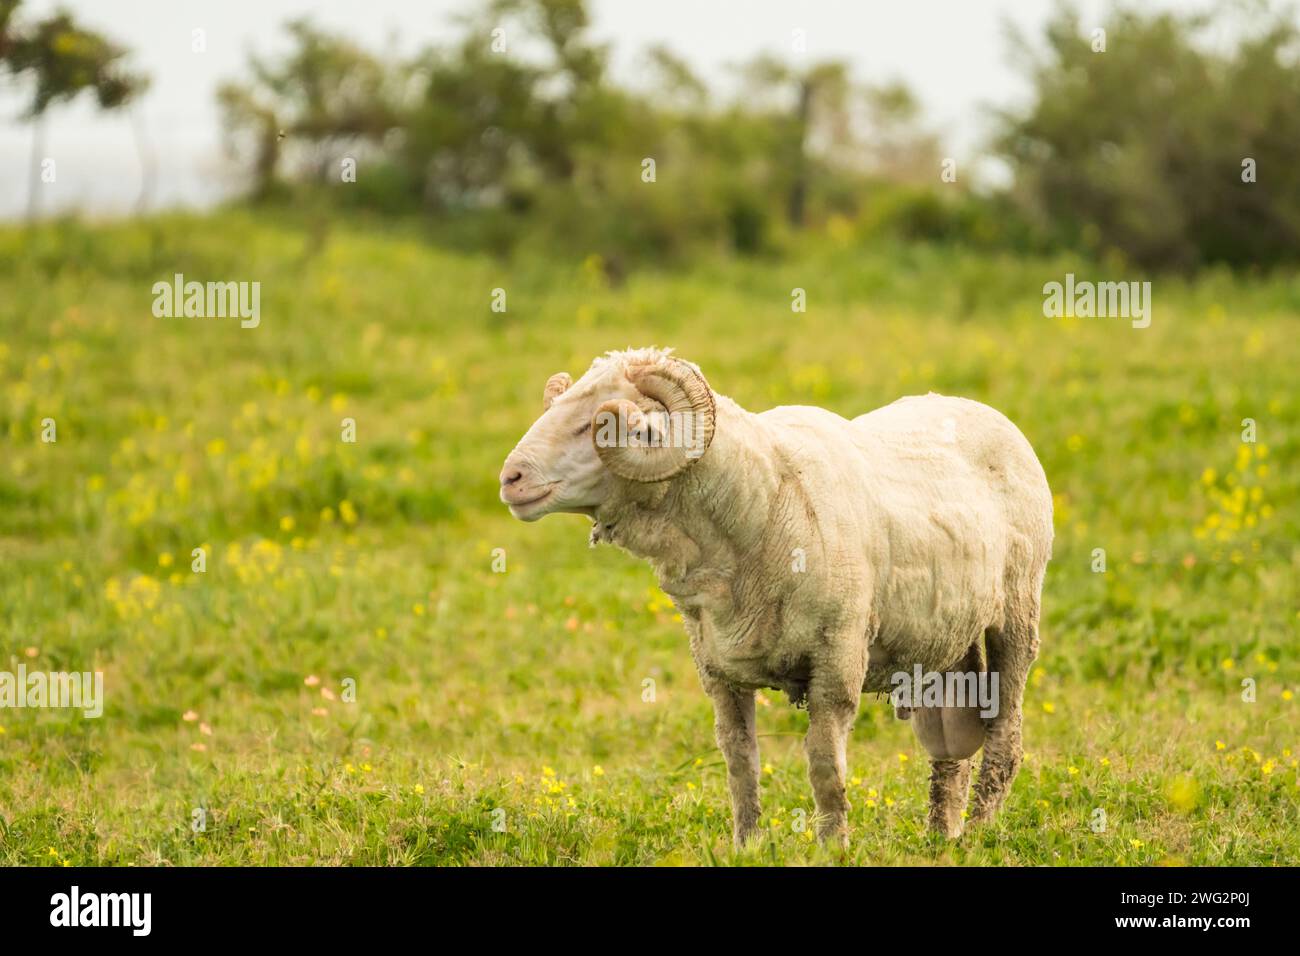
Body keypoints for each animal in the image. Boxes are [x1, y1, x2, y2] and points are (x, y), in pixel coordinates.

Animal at [499, 347, 1053, 845]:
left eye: (600, 424)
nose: (510, 479)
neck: (762, 502)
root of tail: (979, 408)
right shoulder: (716, 670)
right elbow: (740, 765)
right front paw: (746, 844)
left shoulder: (837, 662)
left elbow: (826, 768)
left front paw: (834, 847)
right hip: (944, 646)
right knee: (949, 754)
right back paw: (941, 837)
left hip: (1017, 617)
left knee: (1004, 740)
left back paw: (978, 834)